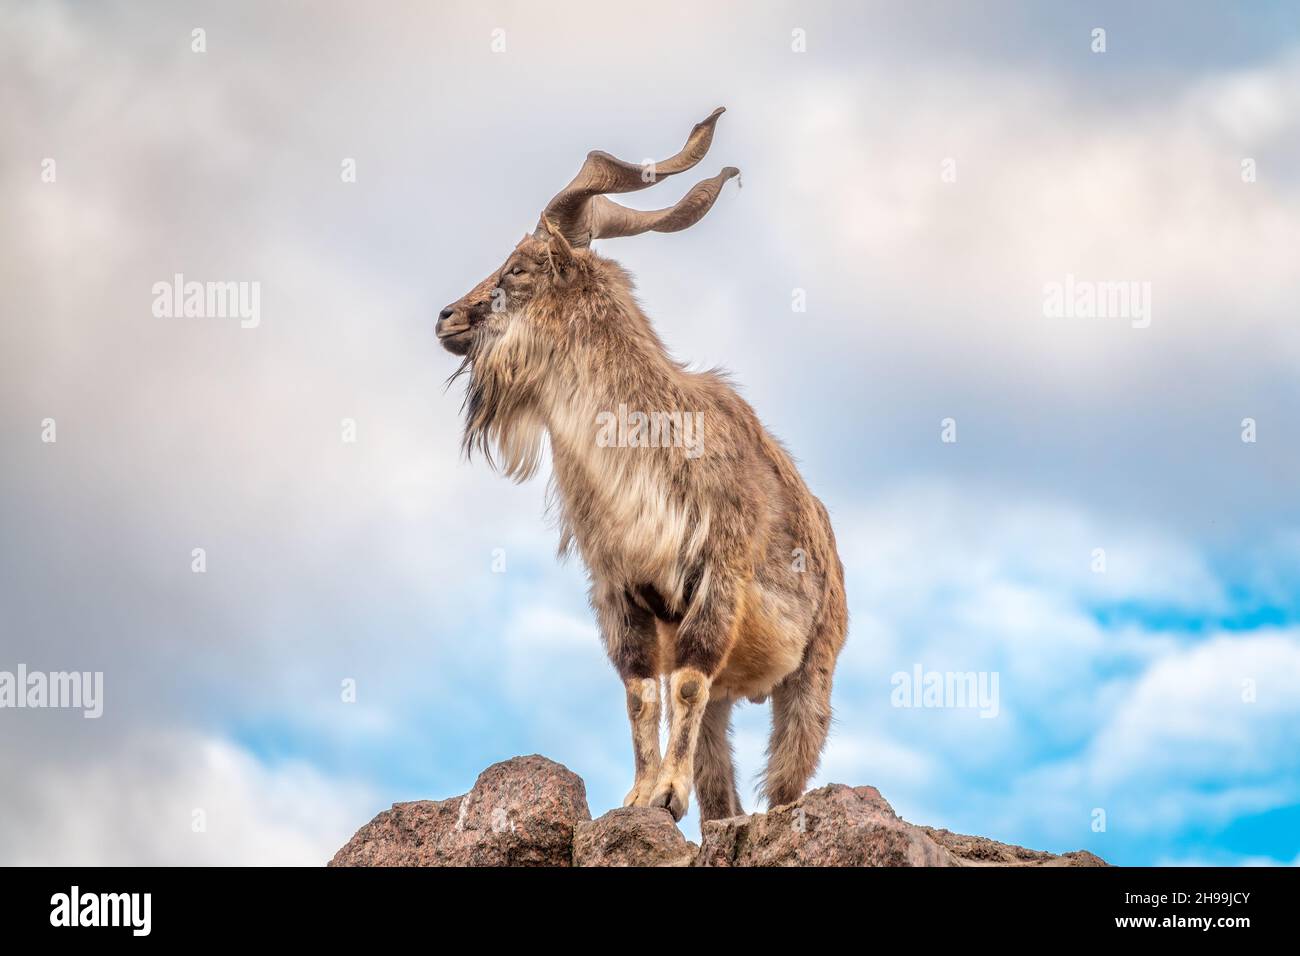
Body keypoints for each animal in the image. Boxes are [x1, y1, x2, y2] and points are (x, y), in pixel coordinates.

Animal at [436, 108, 847, 822]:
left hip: (811, 672)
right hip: (734, 695)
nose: (446, 318)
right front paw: (639, 795)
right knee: (720, 774)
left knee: (785, 772)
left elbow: (682, 684)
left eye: (517, 268)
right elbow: (640, 692)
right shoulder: (619, 589)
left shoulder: (717, 576)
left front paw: (666, 794)